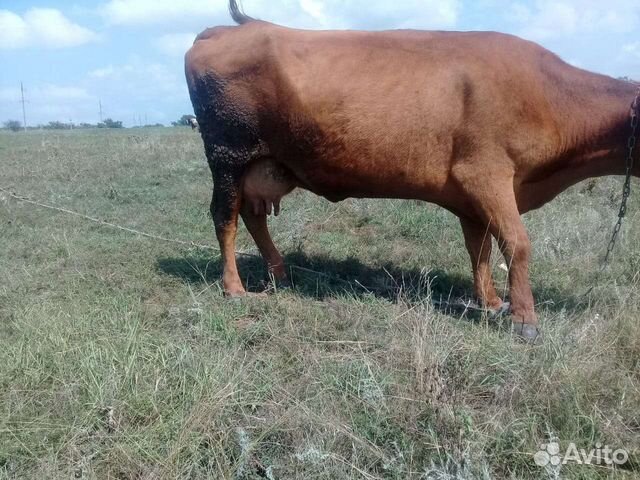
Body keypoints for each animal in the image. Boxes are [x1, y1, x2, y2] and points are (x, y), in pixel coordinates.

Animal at [185, 0, 639, 340]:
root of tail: (224, 31)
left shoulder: (471, 196)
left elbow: (480, 250)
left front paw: (491, 303)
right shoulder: (486, 175)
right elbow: (517, 243)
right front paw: (524, 320)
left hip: (264, 165)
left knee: (253, 216)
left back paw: (278, 272)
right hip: (227, 156)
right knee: (224, 218)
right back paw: (235, 288)